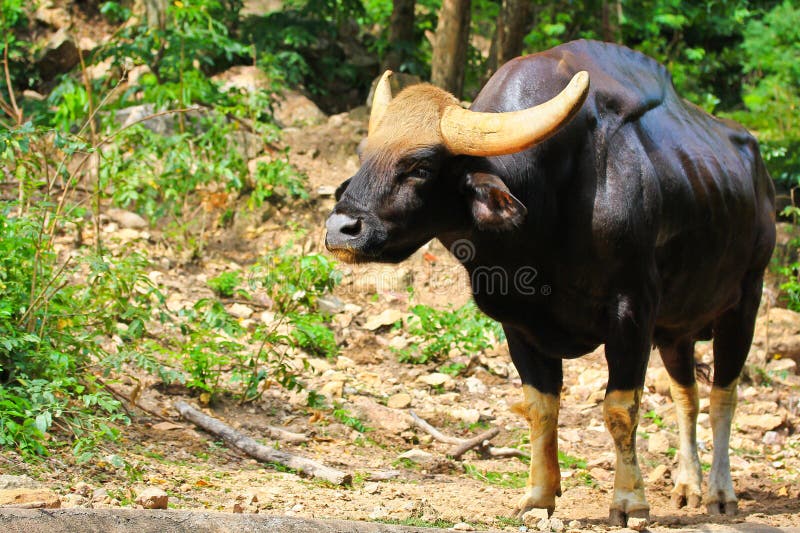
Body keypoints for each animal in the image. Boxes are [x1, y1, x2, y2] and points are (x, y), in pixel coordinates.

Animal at [324, 39, 775, 527]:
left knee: (723, 396)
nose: (341, 229)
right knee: (686, 395)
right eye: (364, 155)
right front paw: (539, 495)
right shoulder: (519, 324)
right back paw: (689, 486)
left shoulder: (632, 310)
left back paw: (720, 492)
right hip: (677, 330)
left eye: (420, 167)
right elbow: (540, 408)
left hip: (744, 302)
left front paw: (629, 501)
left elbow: (621, 409)